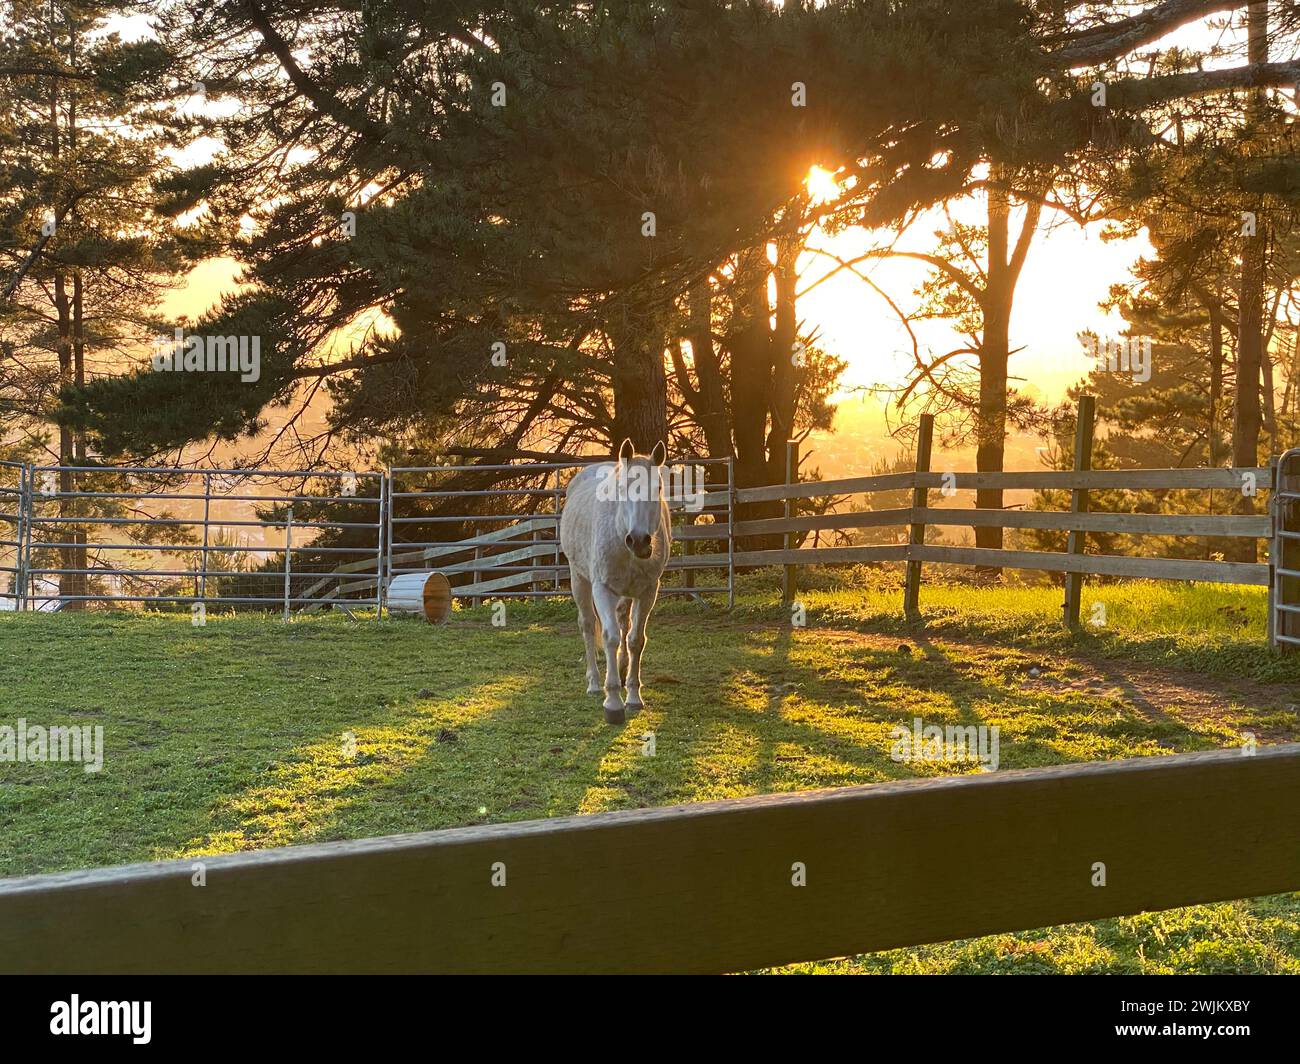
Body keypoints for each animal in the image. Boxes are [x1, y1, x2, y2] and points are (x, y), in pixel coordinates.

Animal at [559, 439, 671, 724]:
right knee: (588, 625)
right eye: (622, 488)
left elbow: (635, 639)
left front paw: (632, 696)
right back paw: (594, 683)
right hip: (580, 580)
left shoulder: (648, 590)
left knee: (623, 623)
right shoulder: (603, 588)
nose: (639, 540)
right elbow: (610, 637)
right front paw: (612, 703)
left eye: (659, 488)